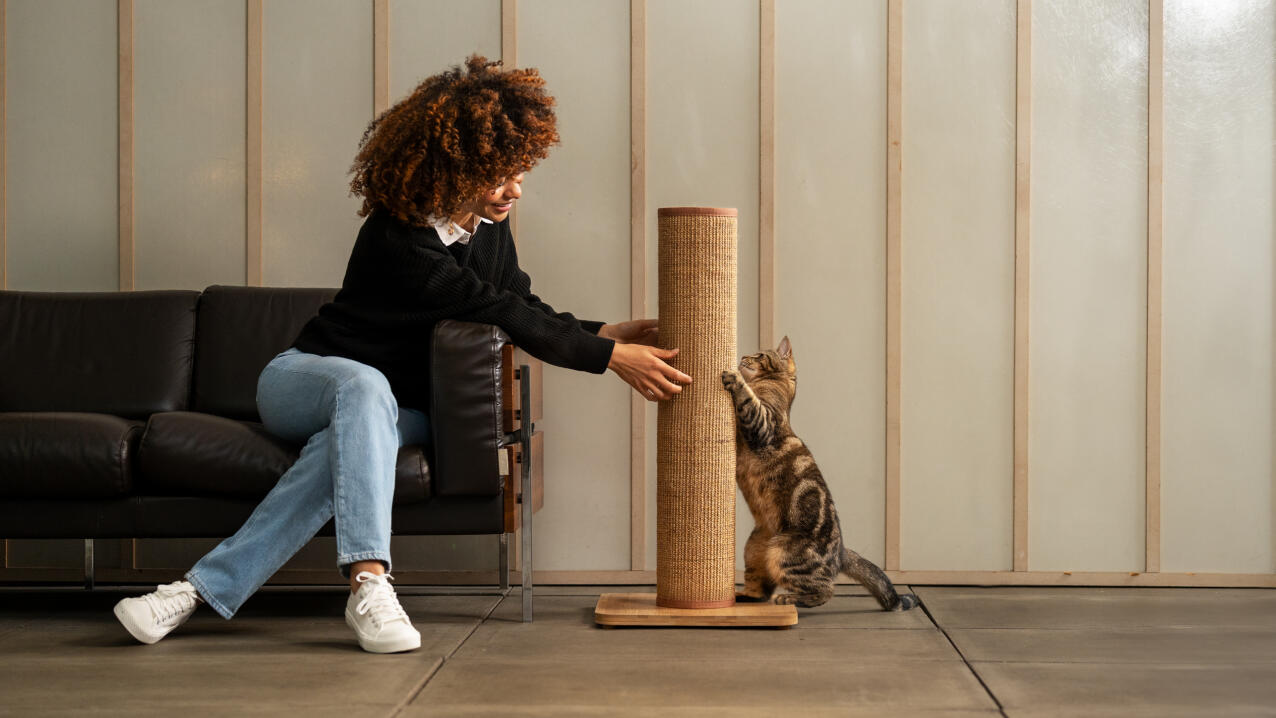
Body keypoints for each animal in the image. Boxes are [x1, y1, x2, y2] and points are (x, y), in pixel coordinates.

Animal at [719, 339, 918, 612]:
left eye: (759, 355)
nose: (743, 357)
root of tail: (841, 550)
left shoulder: (763, 424)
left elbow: (748, 399)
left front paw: (735, 378)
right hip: (755, 549)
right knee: (761, 590)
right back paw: (743, 596)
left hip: (785, 553)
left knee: (825, 591)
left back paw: (788, 599)